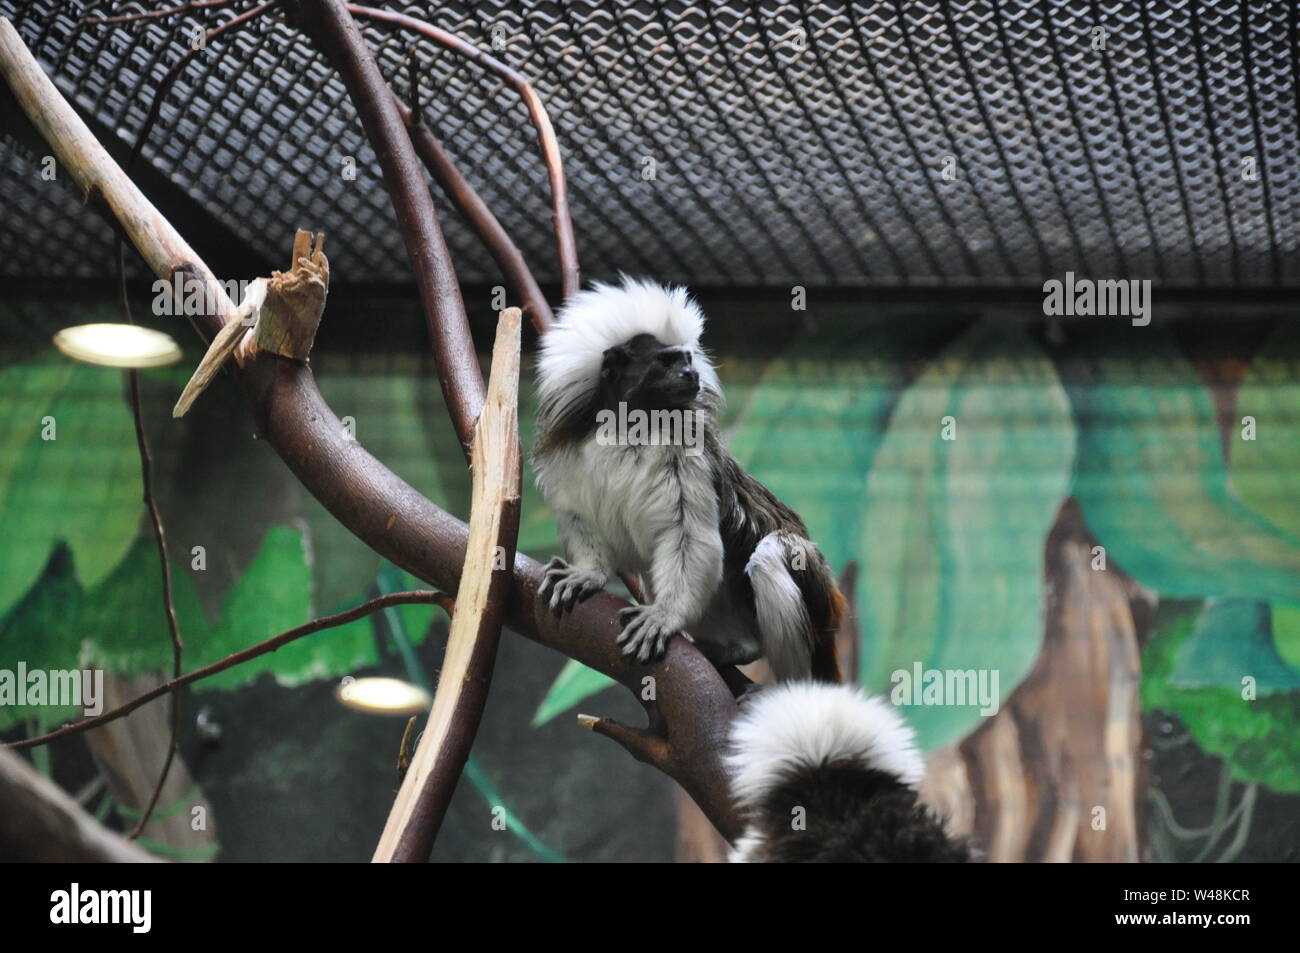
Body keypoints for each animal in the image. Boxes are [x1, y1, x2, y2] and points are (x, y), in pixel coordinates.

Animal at [532, 276, 843, 682]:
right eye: (666, 361)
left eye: (688, 359)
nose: (691, 375)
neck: (630, 428)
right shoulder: (573, 453)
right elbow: (580, 516)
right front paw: (587, 574)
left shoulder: (688, 452)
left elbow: (689, 536)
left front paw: (666, 616)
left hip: (815, 595)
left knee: (772, 553)